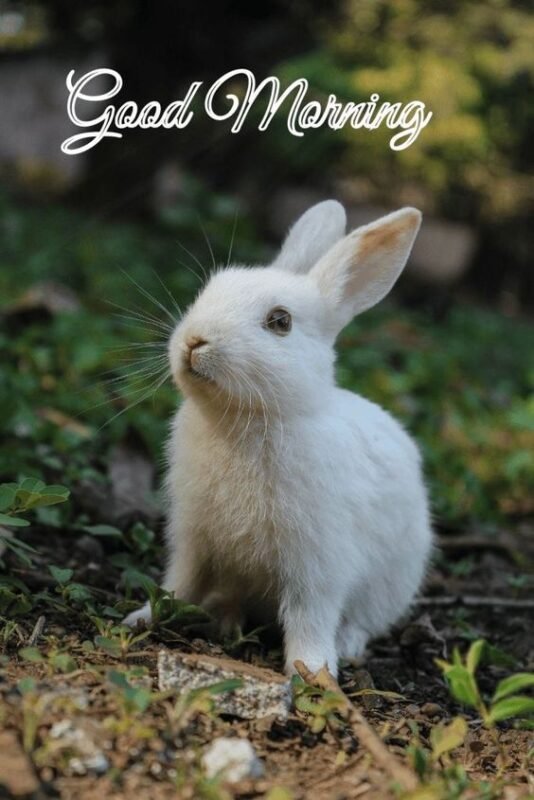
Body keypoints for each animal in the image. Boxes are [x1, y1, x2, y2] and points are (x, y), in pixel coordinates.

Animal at [124, 200, 433, 678]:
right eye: (208, 291)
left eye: (280, 322)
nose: (194, 341)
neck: (247, 419)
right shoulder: (193, 538)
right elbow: (179, 583)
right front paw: (142, 617)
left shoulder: (317, 563)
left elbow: (310, 616)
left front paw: (313, 671)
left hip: (392, 582)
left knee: (363, 620)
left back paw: (346, 645)